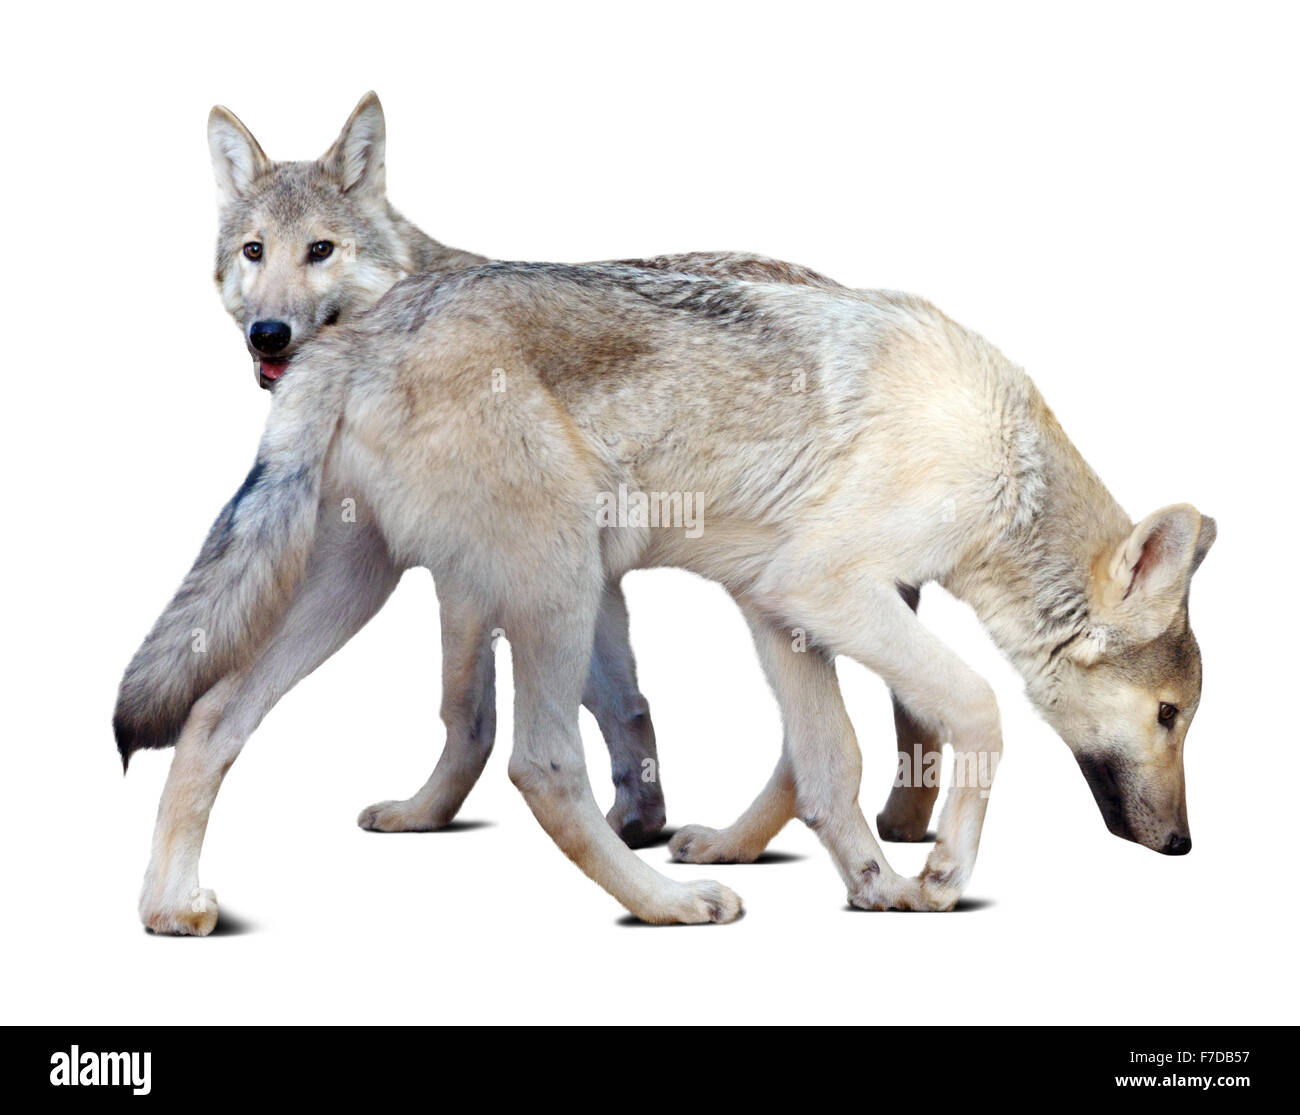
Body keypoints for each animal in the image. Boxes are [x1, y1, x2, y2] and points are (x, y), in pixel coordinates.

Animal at [115, 260, 1214, 931]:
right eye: (1168, 716)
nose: (1184, 845)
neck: (1005, 464)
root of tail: (353, 337)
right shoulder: (827, 589)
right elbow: (979, 708)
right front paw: (941, 873)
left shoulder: (781, 610)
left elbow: (828, 766)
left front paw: (874, 887)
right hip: (559, 580)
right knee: (542, 765)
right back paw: (666, 902)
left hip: (360, 588)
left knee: (213, 718)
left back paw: (169, 906)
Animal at [203, 91, 929, 859]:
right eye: (254, 250)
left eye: (320, 249)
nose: (268, 333)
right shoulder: (575, 573)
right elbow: (621, 703)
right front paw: (637, 819)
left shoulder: (476, 573)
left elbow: (466, 711)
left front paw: (429, 810)